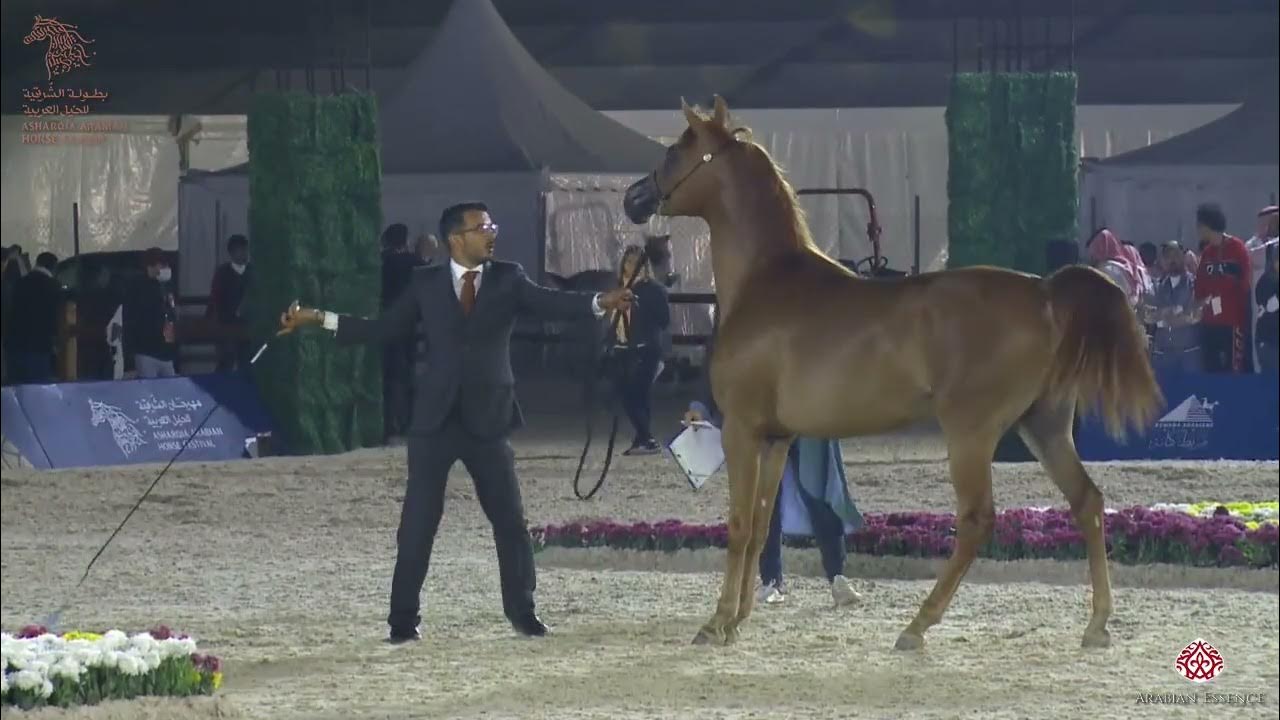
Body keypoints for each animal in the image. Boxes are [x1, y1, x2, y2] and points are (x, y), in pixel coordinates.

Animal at [622, 96, 1163, 650]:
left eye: (676, 149)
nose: (633, 197)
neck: (765, 280)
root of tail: (1044, 291)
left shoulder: (742, 430)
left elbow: (736, 525)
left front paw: (716, 623)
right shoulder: (776, 438)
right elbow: (760, 522)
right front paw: (740, 616)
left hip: (971, 432)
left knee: (977, 519)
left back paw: (917, 626)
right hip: (1044, 425)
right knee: (1087, 502)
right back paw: (1097, 624)